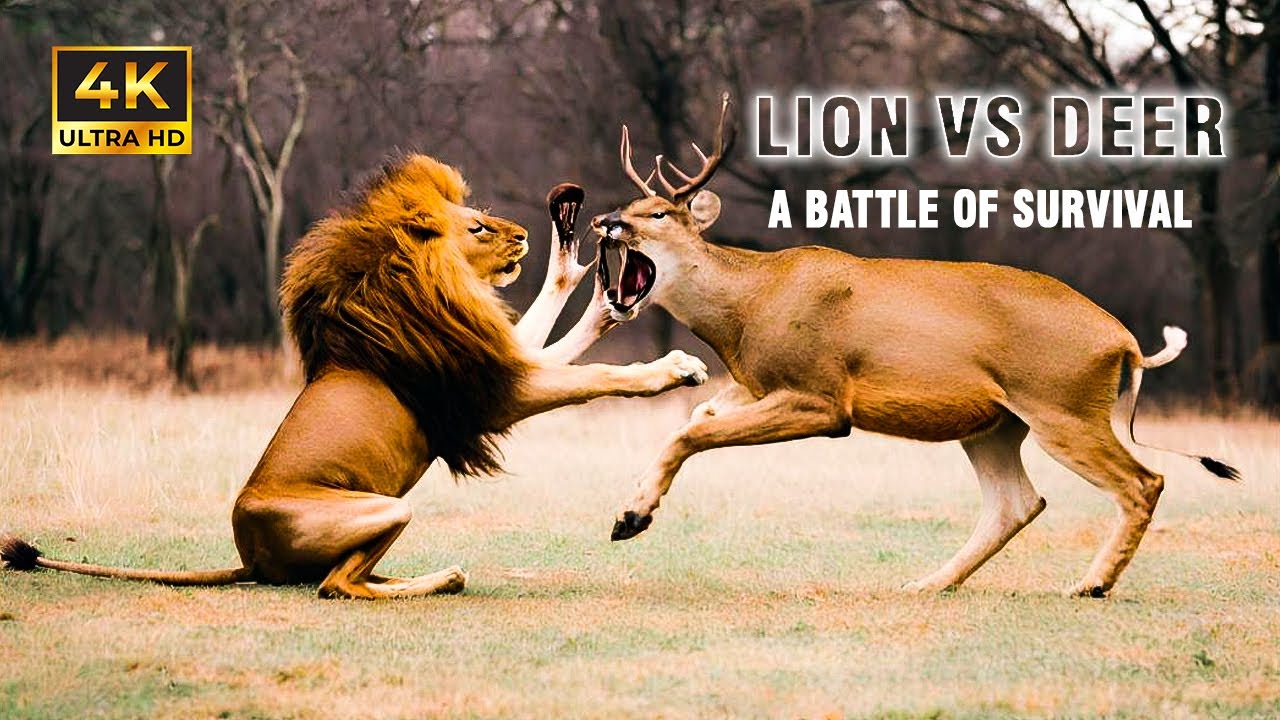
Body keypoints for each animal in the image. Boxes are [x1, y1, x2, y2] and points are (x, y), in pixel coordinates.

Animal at [1, 153, 708, 599]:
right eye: (478, 226)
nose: (524, 236)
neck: (427, 289)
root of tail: (247, 557)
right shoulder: (495, 391)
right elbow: (596, 377)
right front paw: (674, 367)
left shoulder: (496, 361)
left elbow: (566, 334)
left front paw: (600, 290)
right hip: (384, 507)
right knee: (333, 586)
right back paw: (439, 580)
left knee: (344, 578)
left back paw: (429, 578)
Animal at [590, 95, 1239, 597]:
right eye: (628, 206)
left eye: (660, 212)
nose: (607, 221)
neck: (750, 306)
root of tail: (1125, 342)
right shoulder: (757, 384)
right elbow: (697, 413)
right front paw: (629, 511)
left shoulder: (823, 397)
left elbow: (691, 432)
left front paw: (632, 517)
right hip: (996, 423)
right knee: (1019, 502)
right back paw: (928, 583)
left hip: (1063, 406)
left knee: (1143, 481)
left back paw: (1091, 584)